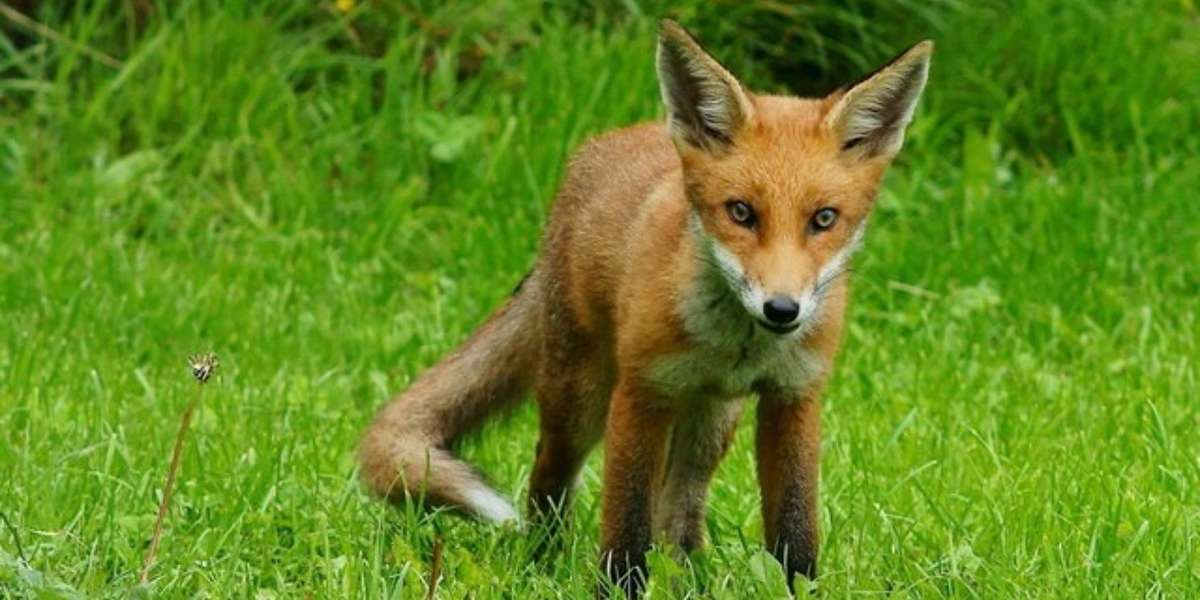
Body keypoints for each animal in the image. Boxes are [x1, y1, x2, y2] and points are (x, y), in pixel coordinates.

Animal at [359, 20, 932, 596]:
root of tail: (606, 144)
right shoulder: (643, 392)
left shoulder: (794, 397)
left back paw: (687, 576)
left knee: (680, 507)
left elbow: (794, 525)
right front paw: (618, 588)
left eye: (824, 219)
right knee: (550, 473)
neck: (736, 345)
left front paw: (796, 586)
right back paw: (542, 562)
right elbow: (626, 522)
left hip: (711, 422)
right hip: (582, 396)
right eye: (741, 212)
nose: (782, 310)